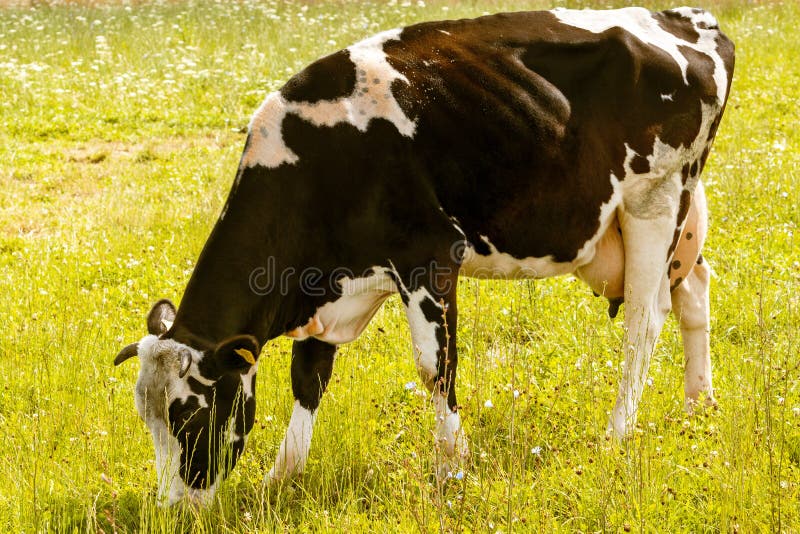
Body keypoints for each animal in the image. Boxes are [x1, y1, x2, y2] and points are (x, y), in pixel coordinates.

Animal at [114, 7, 734, 506]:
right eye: (146, 419)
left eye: (191, 415)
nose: (173, 506)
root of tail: (684, 17)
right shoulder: (325, 282)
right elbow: (308, 377)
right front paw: (281, 477)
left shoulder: (429, 257)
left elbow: (436, 367)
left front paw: (451, 468)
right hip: (675, 223)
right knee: (694, 291)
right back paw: (698, 404)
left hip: (654, 201)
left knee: (644, 322)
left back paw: (617, 431)